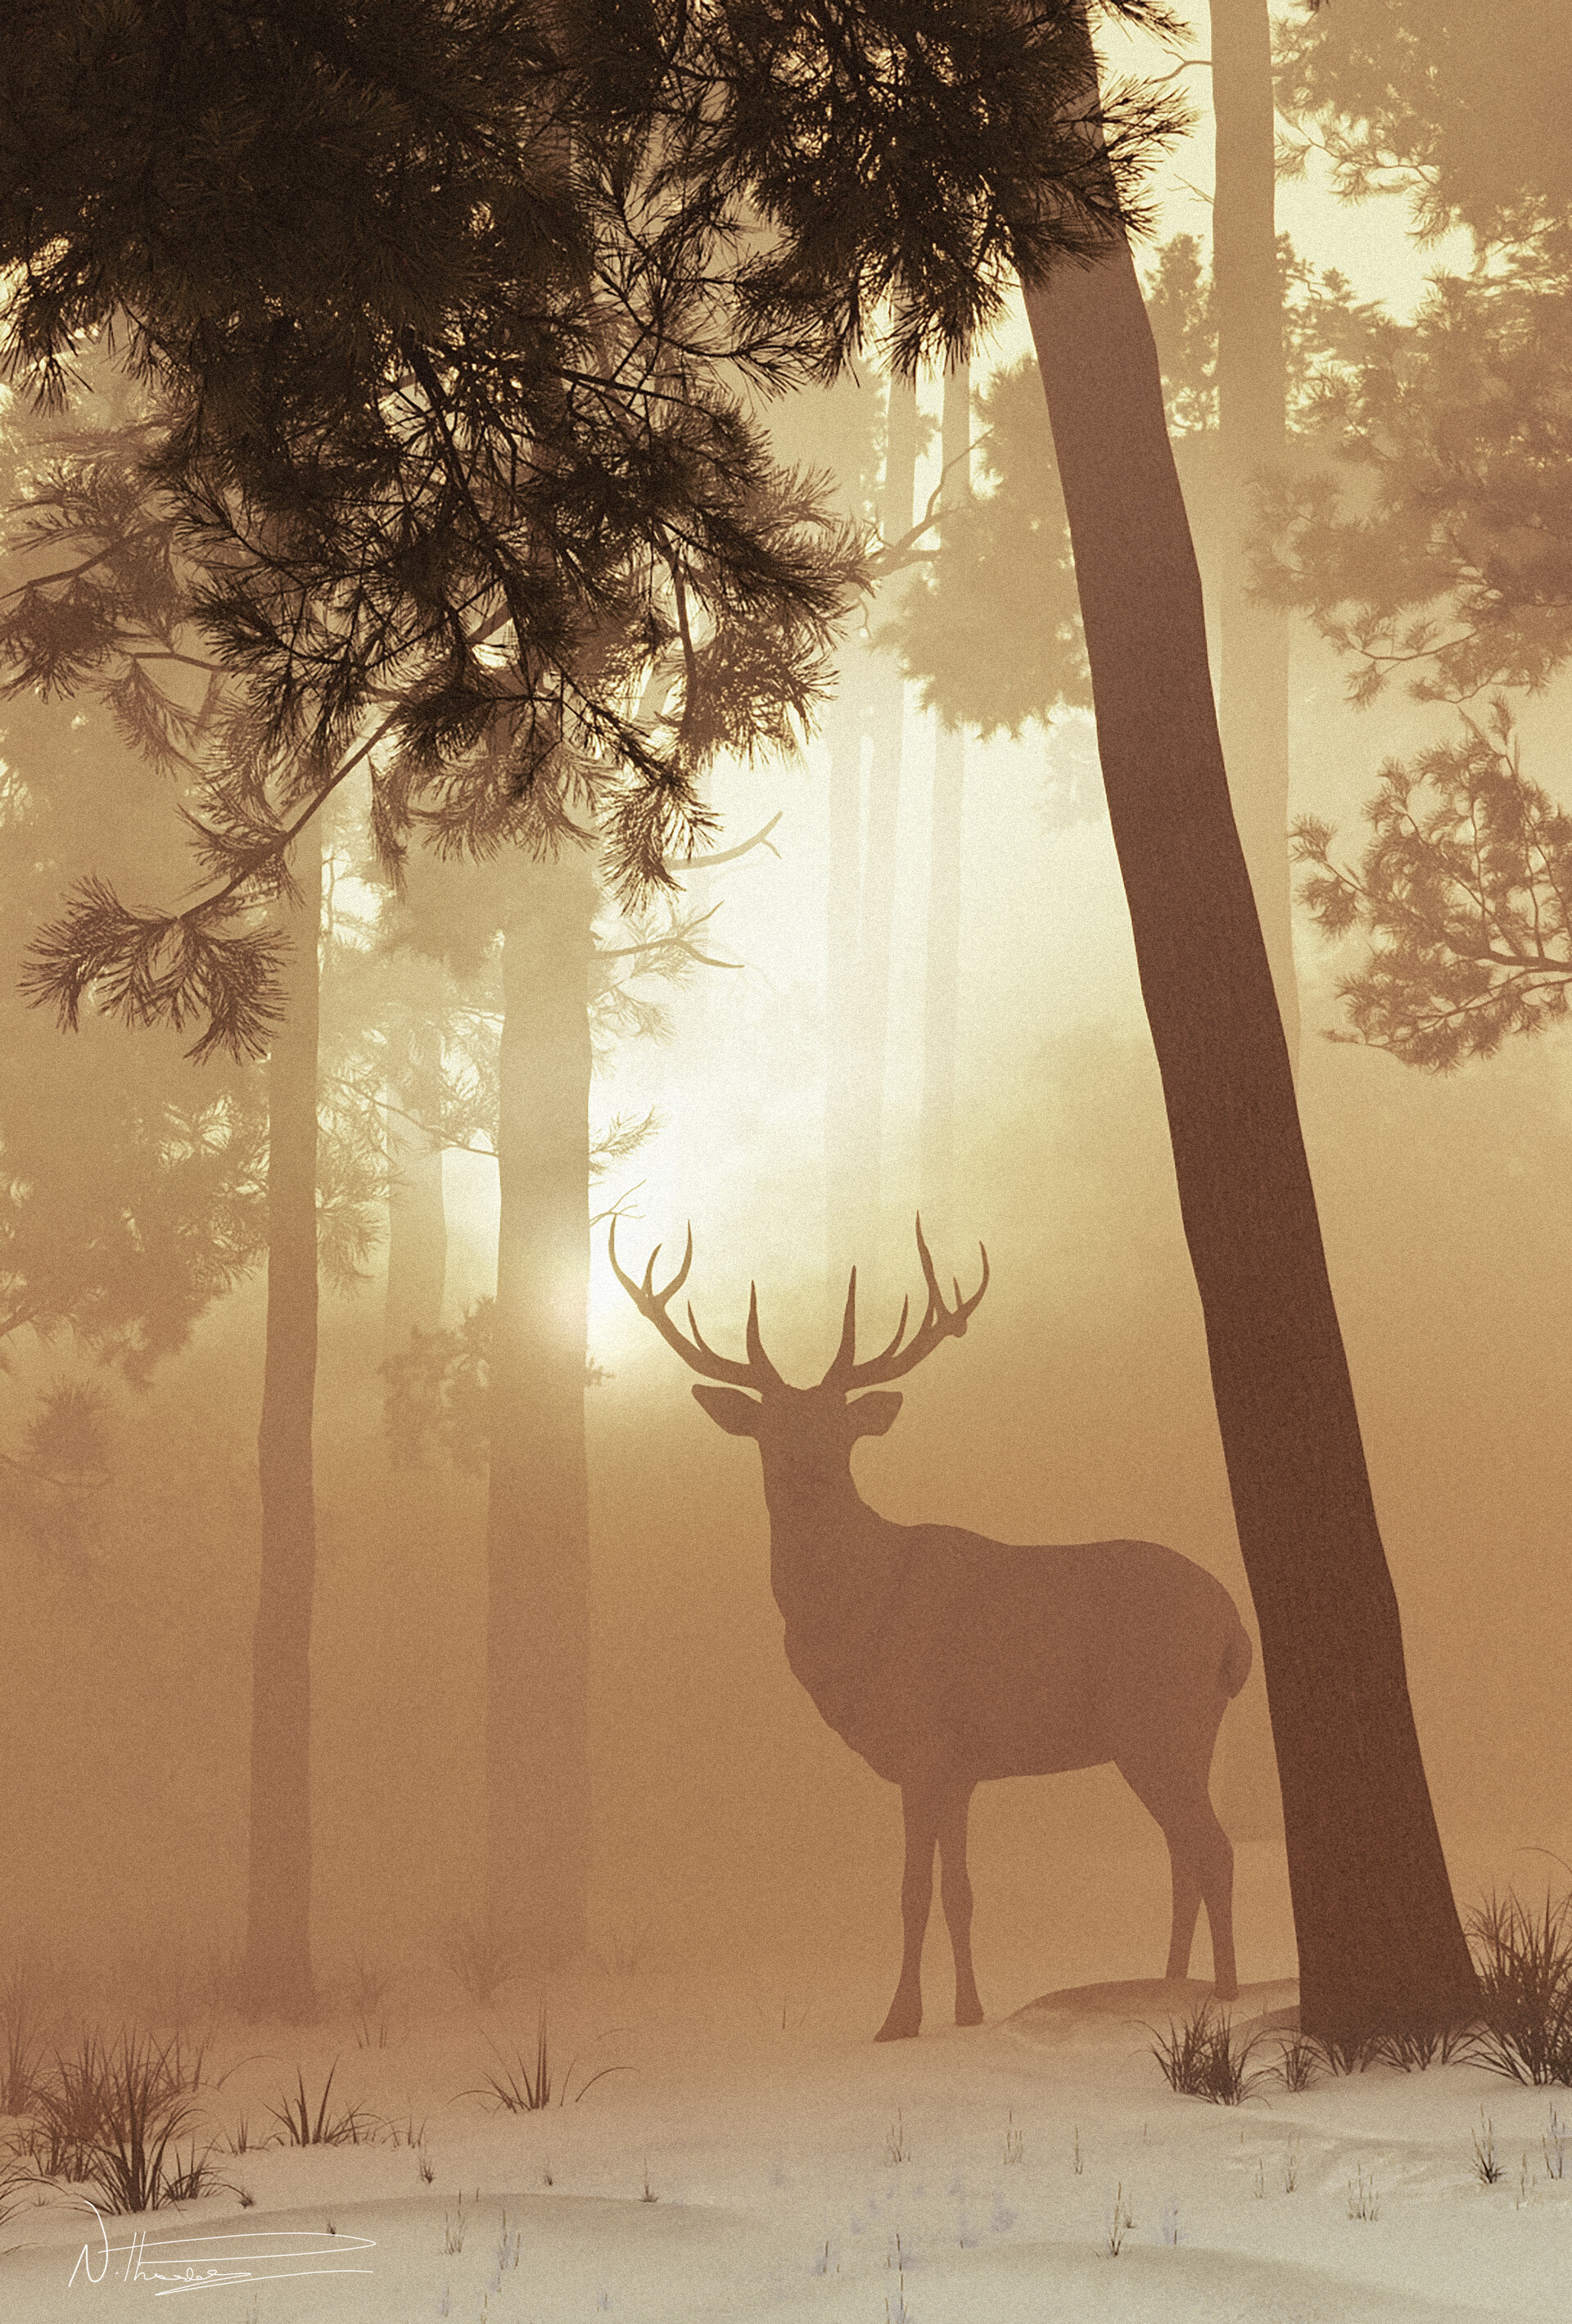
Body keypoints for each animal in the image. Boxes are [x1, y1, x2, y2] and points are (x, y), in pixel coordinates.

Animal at [610, 1215, 1254, 2042]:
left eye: (840, 1428)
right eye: (770, 1428)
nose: (807, 1473)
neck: (859, 1621)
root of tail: (1234, 1623)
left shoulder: (923, 1746)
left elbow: (915, 1894)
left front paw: (900, 2021)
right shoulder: (958, 1766)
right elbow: (960, 1894)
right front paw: (968, 2014)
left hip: (1162, 1720)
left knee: (1214, 1848)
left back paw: (1228, 1995)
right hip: (1179, 1735)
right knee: (1183, 1853)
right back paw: (1172, 1985)